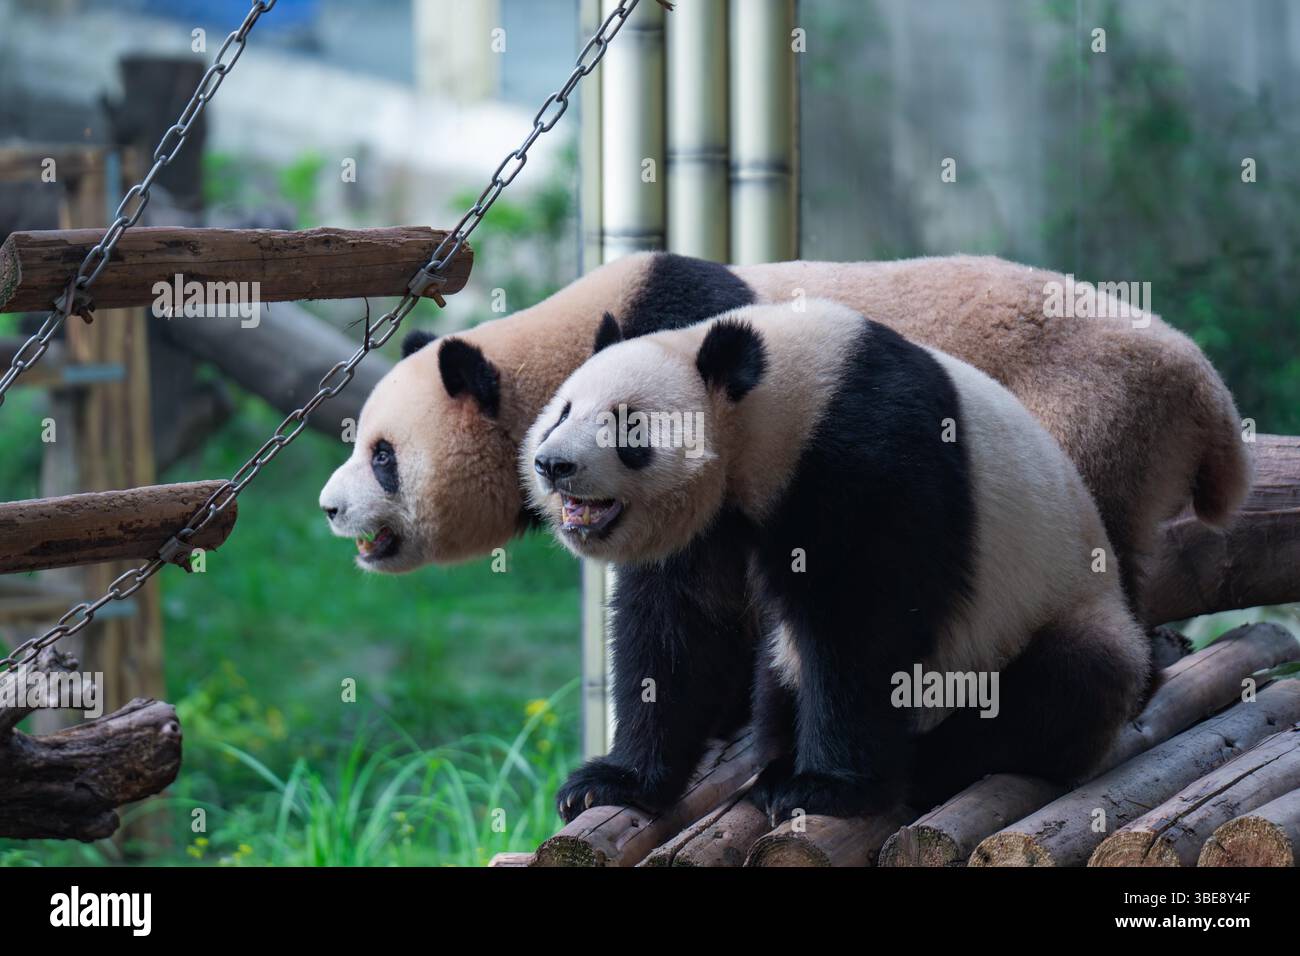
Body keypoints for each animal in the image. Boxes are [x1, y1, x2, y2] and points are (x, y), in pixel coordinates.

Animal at [523, 300, 1153, 819]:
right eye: (563, 412)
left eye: (627, 423)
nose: (553, 465)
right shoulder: (708, 524)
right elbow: (676, 630)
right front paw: (611, 783)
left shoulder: (865, 454)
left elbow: (862, 626)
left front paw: (826, 788)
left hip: (1052, 612)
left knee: (1065, 686)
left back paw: (924, 763)